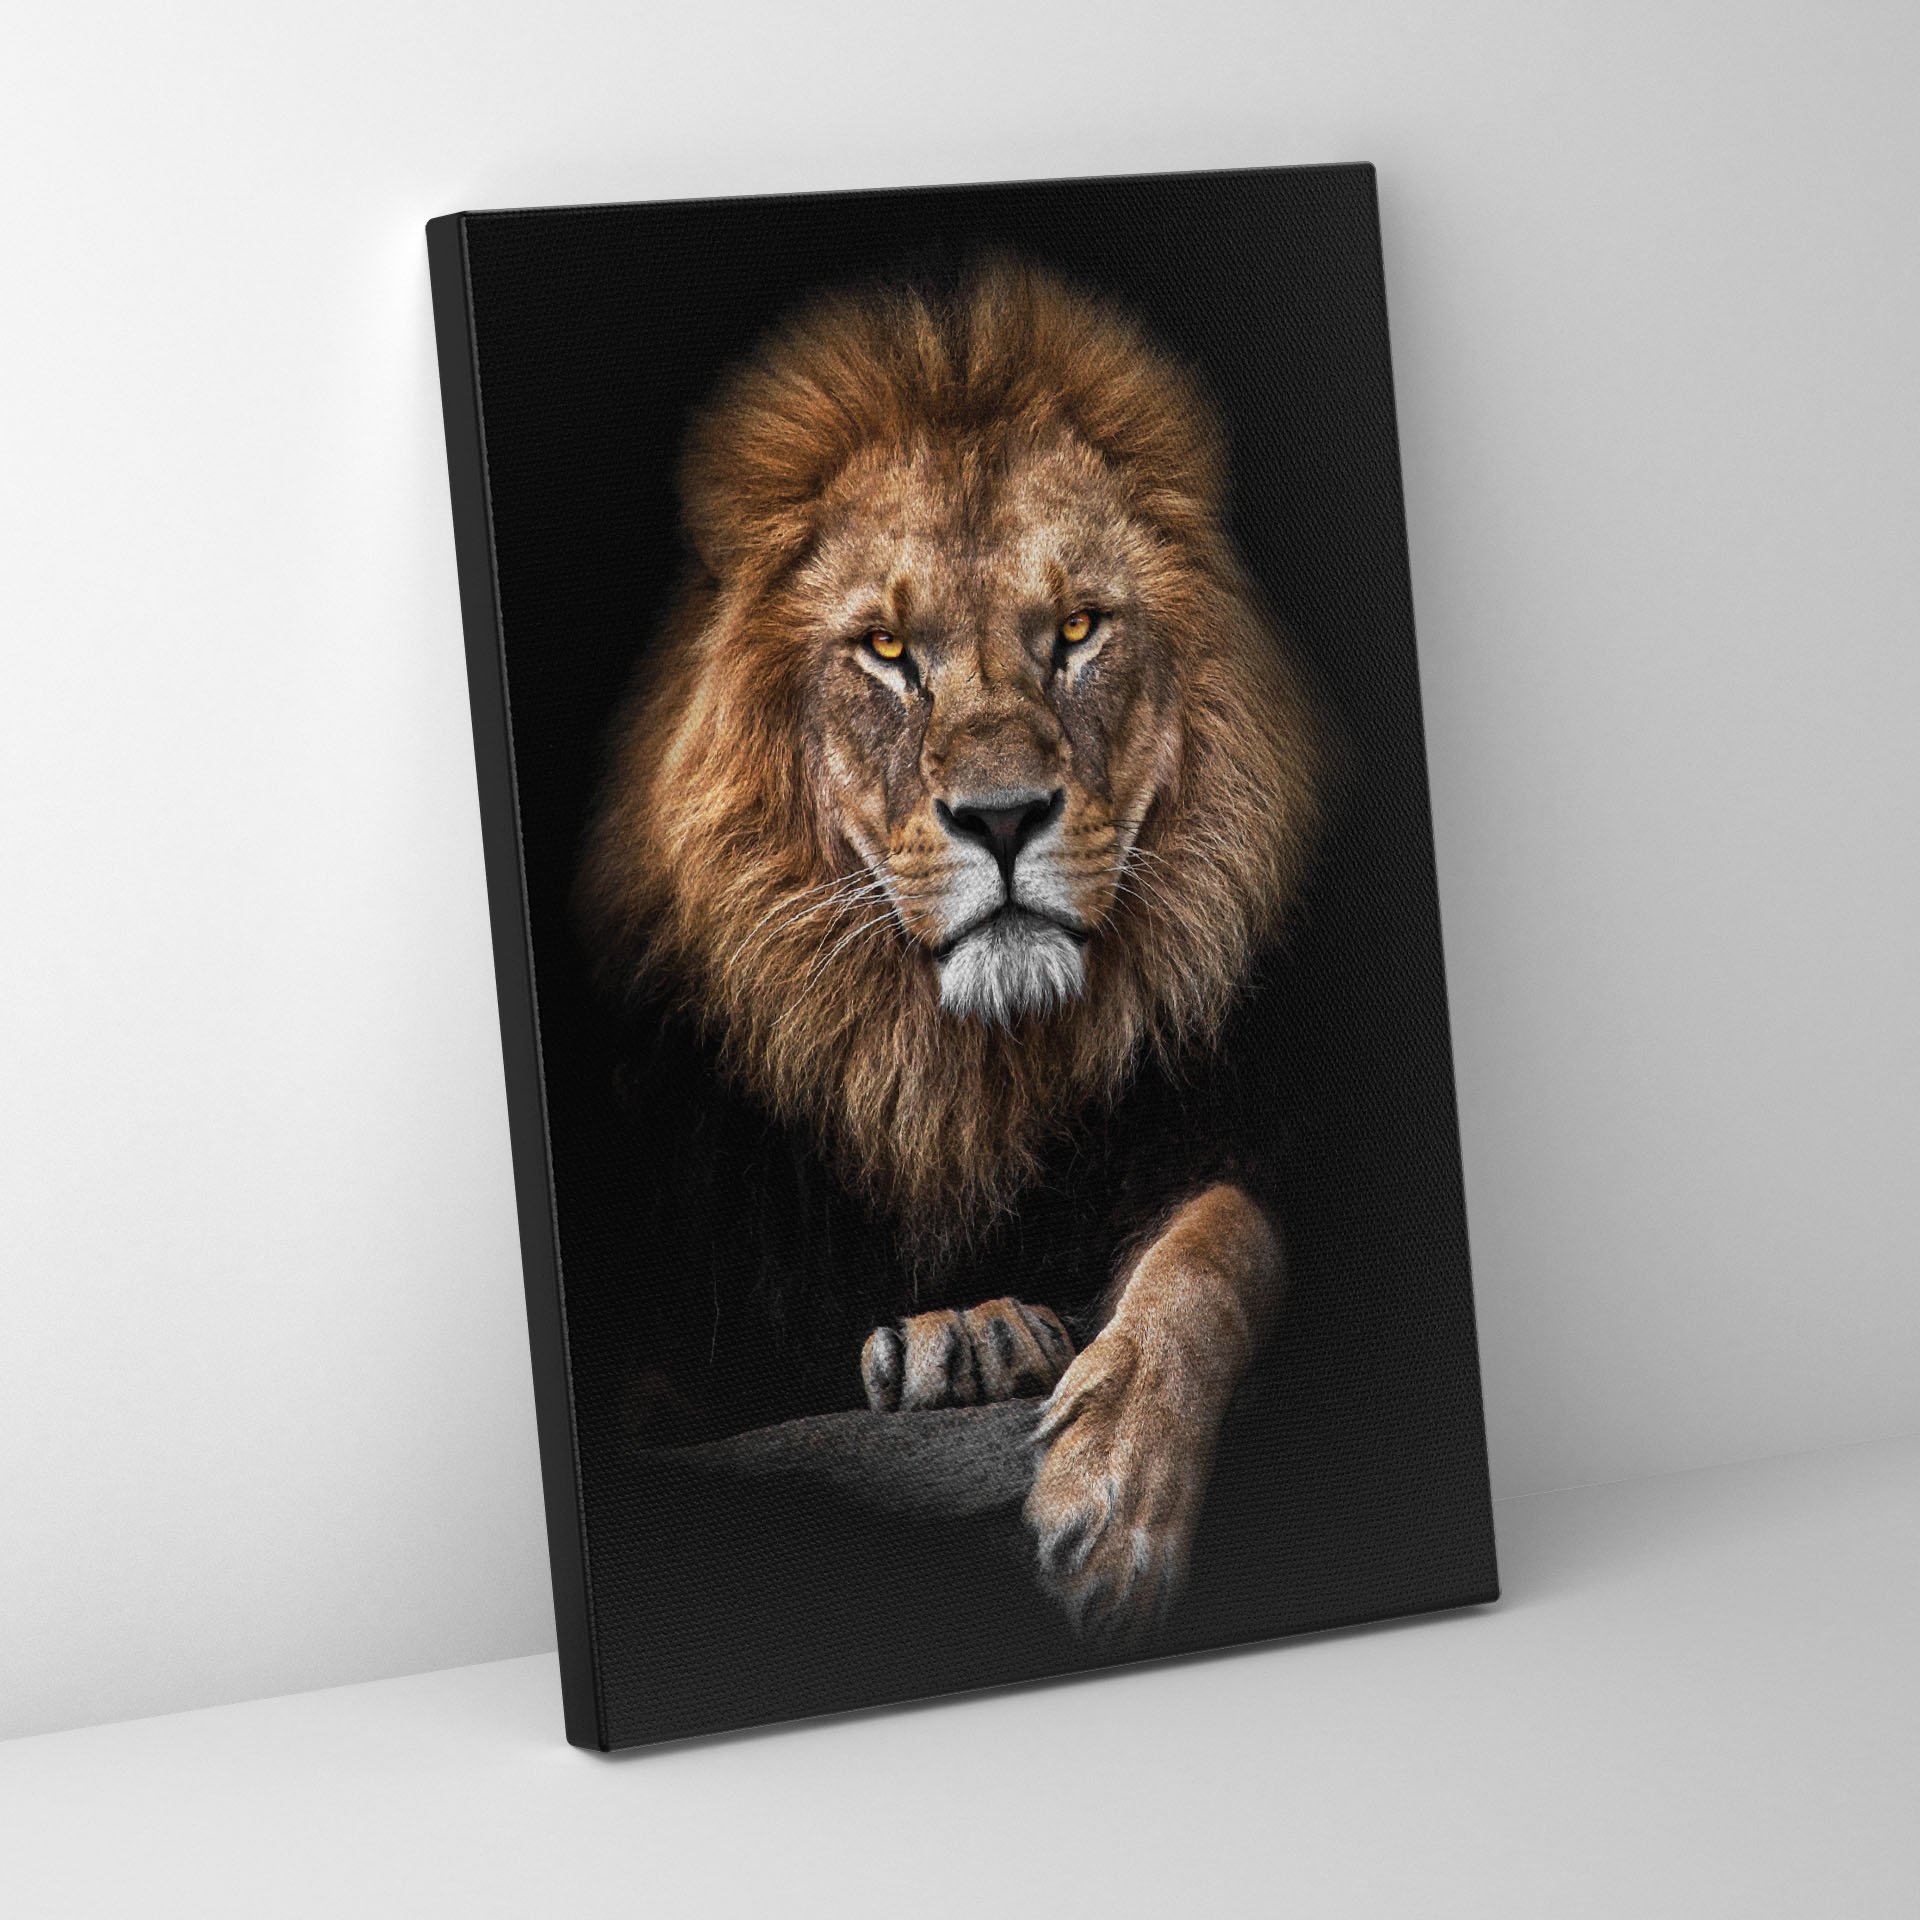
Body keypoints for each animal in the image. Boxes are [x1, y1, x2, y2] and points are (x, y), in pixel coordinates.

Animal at [580, 258, 1324, 1638]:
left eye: (1078, 630)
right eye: (886, 651)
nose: (1002, 816)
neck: (962, 1077)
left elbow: (1222, 1238)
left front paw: (1116, 1499)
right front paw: (960, 1342)